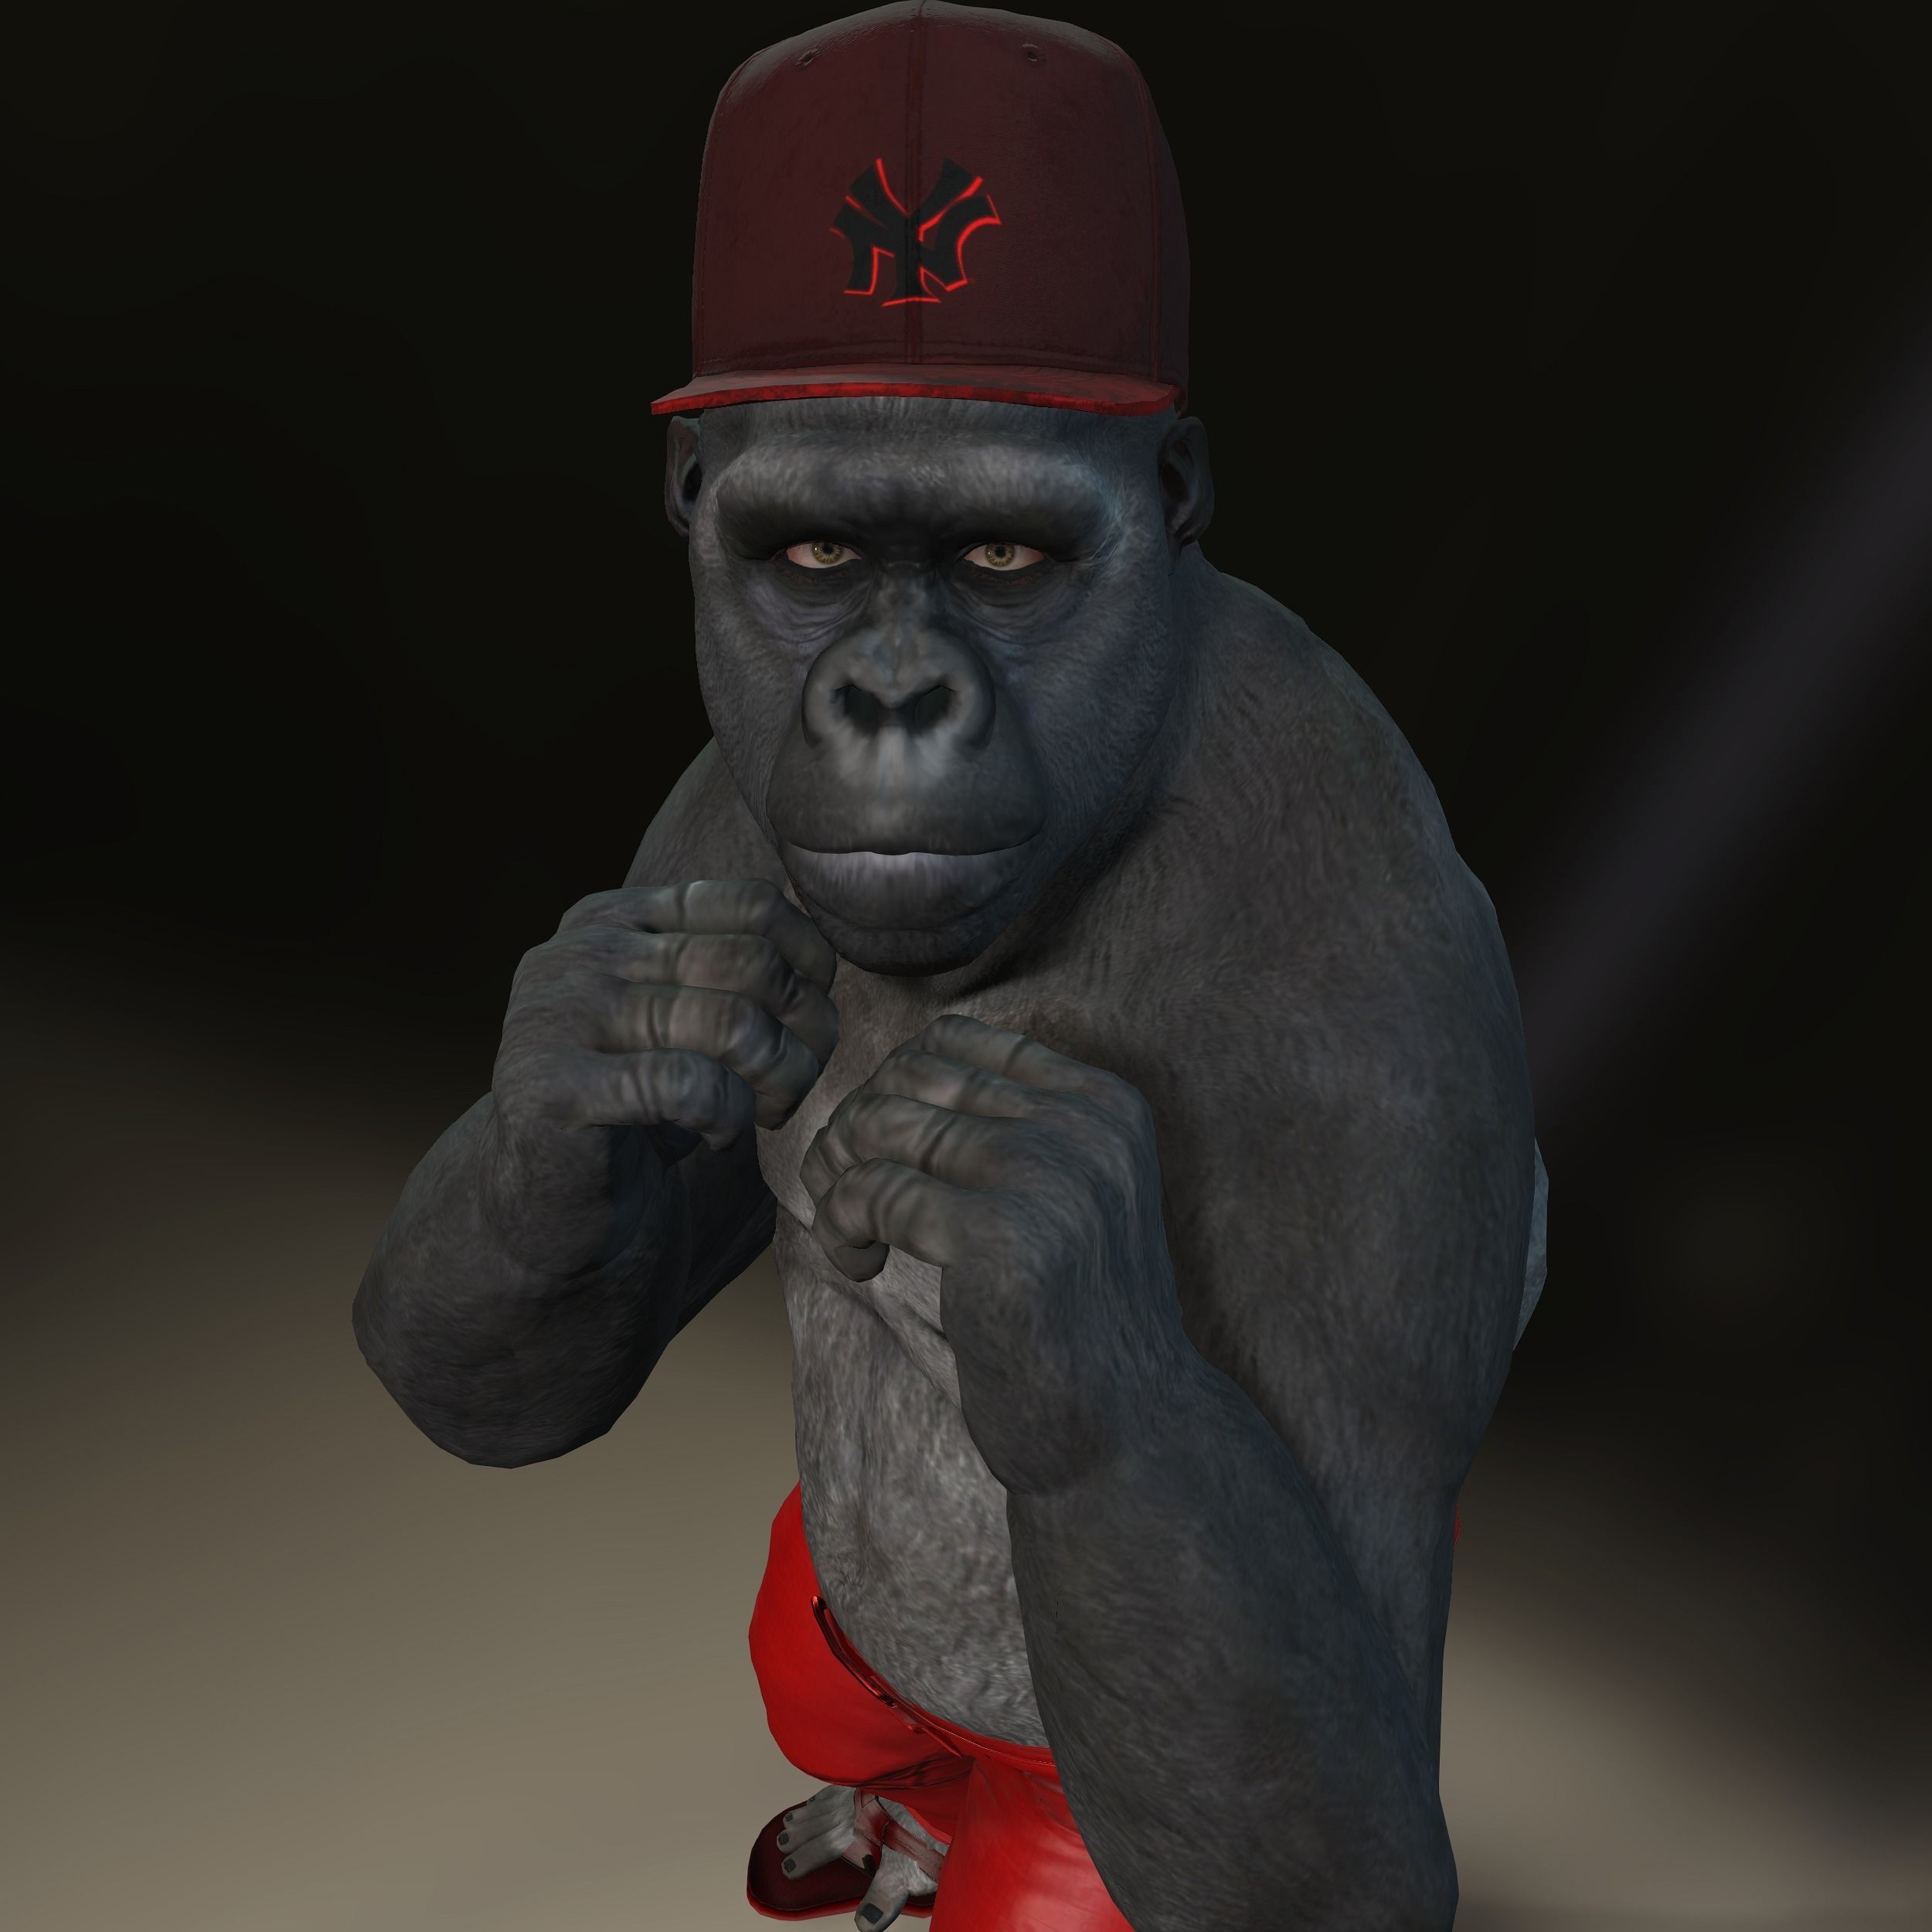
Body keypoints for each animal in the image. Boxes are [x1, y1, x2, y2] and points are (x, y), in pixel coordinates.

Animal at [353, 387, 1547, 1931]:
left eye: (1002, 556)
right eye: (814, 556)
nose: (892, 696)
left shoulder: (1386, 1053)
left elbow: (1364, 1851)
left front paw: (1041, 1246)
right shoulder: (717, 821)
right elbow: (542, 1361)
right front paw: (601, 1035)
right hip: (839, 1642)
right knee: (817, 1682)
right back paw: (894, 1815)